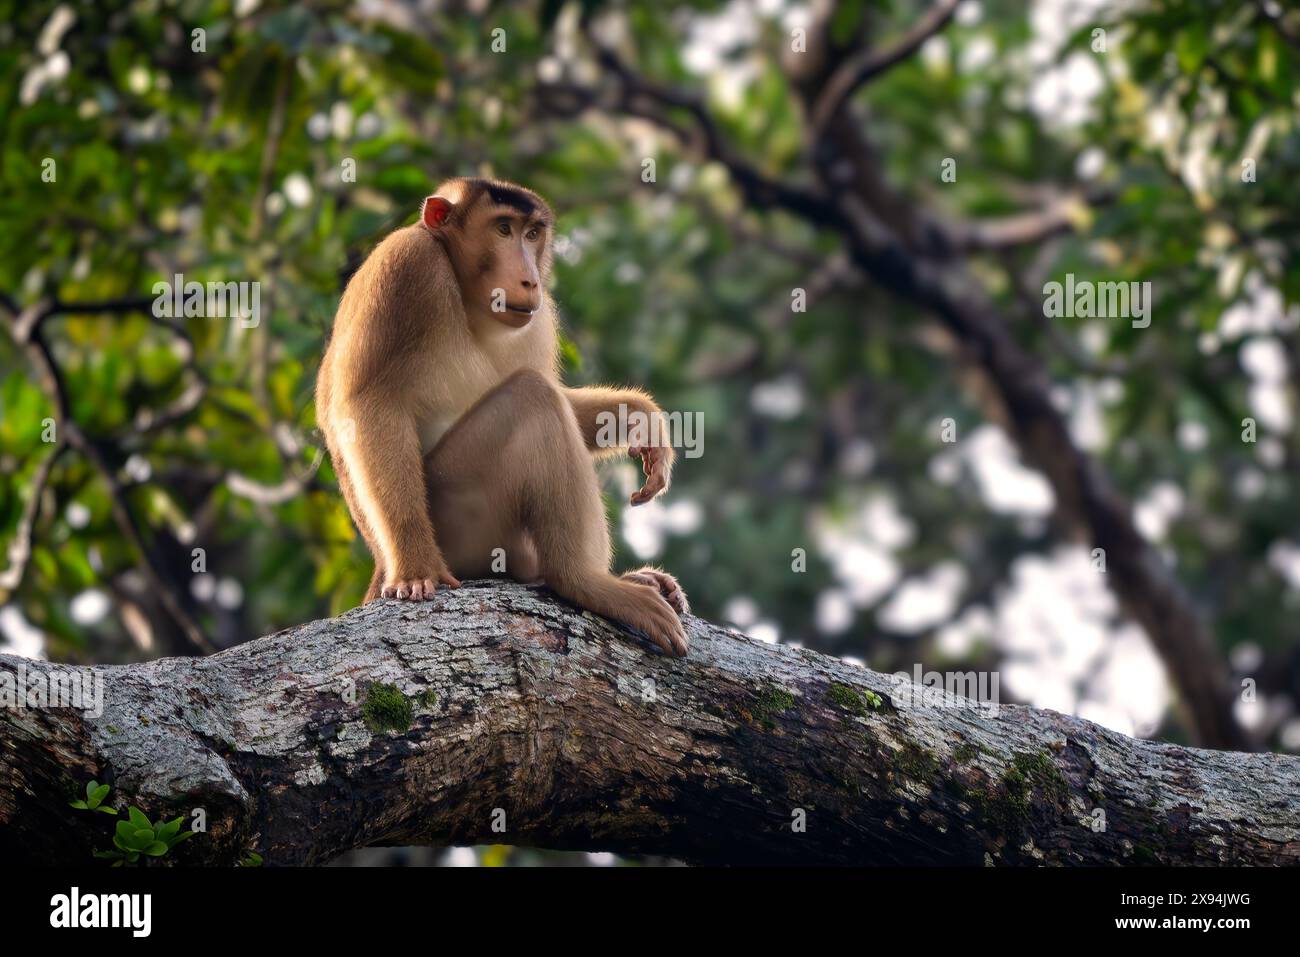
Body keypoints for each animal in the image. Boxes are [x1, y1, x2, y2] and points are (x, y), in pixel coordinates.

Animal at [315, 177, 689, 655]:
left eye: (532, 234)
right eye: (503, 229)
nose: (529, 278)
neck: (461, 290)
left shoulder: (540, 319)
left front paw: (640, 418)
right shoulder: (405, 266)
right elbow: (369, 404)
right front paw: (416, 567)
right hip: (458, 516)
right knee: (533, 398)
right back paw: (583, 581)